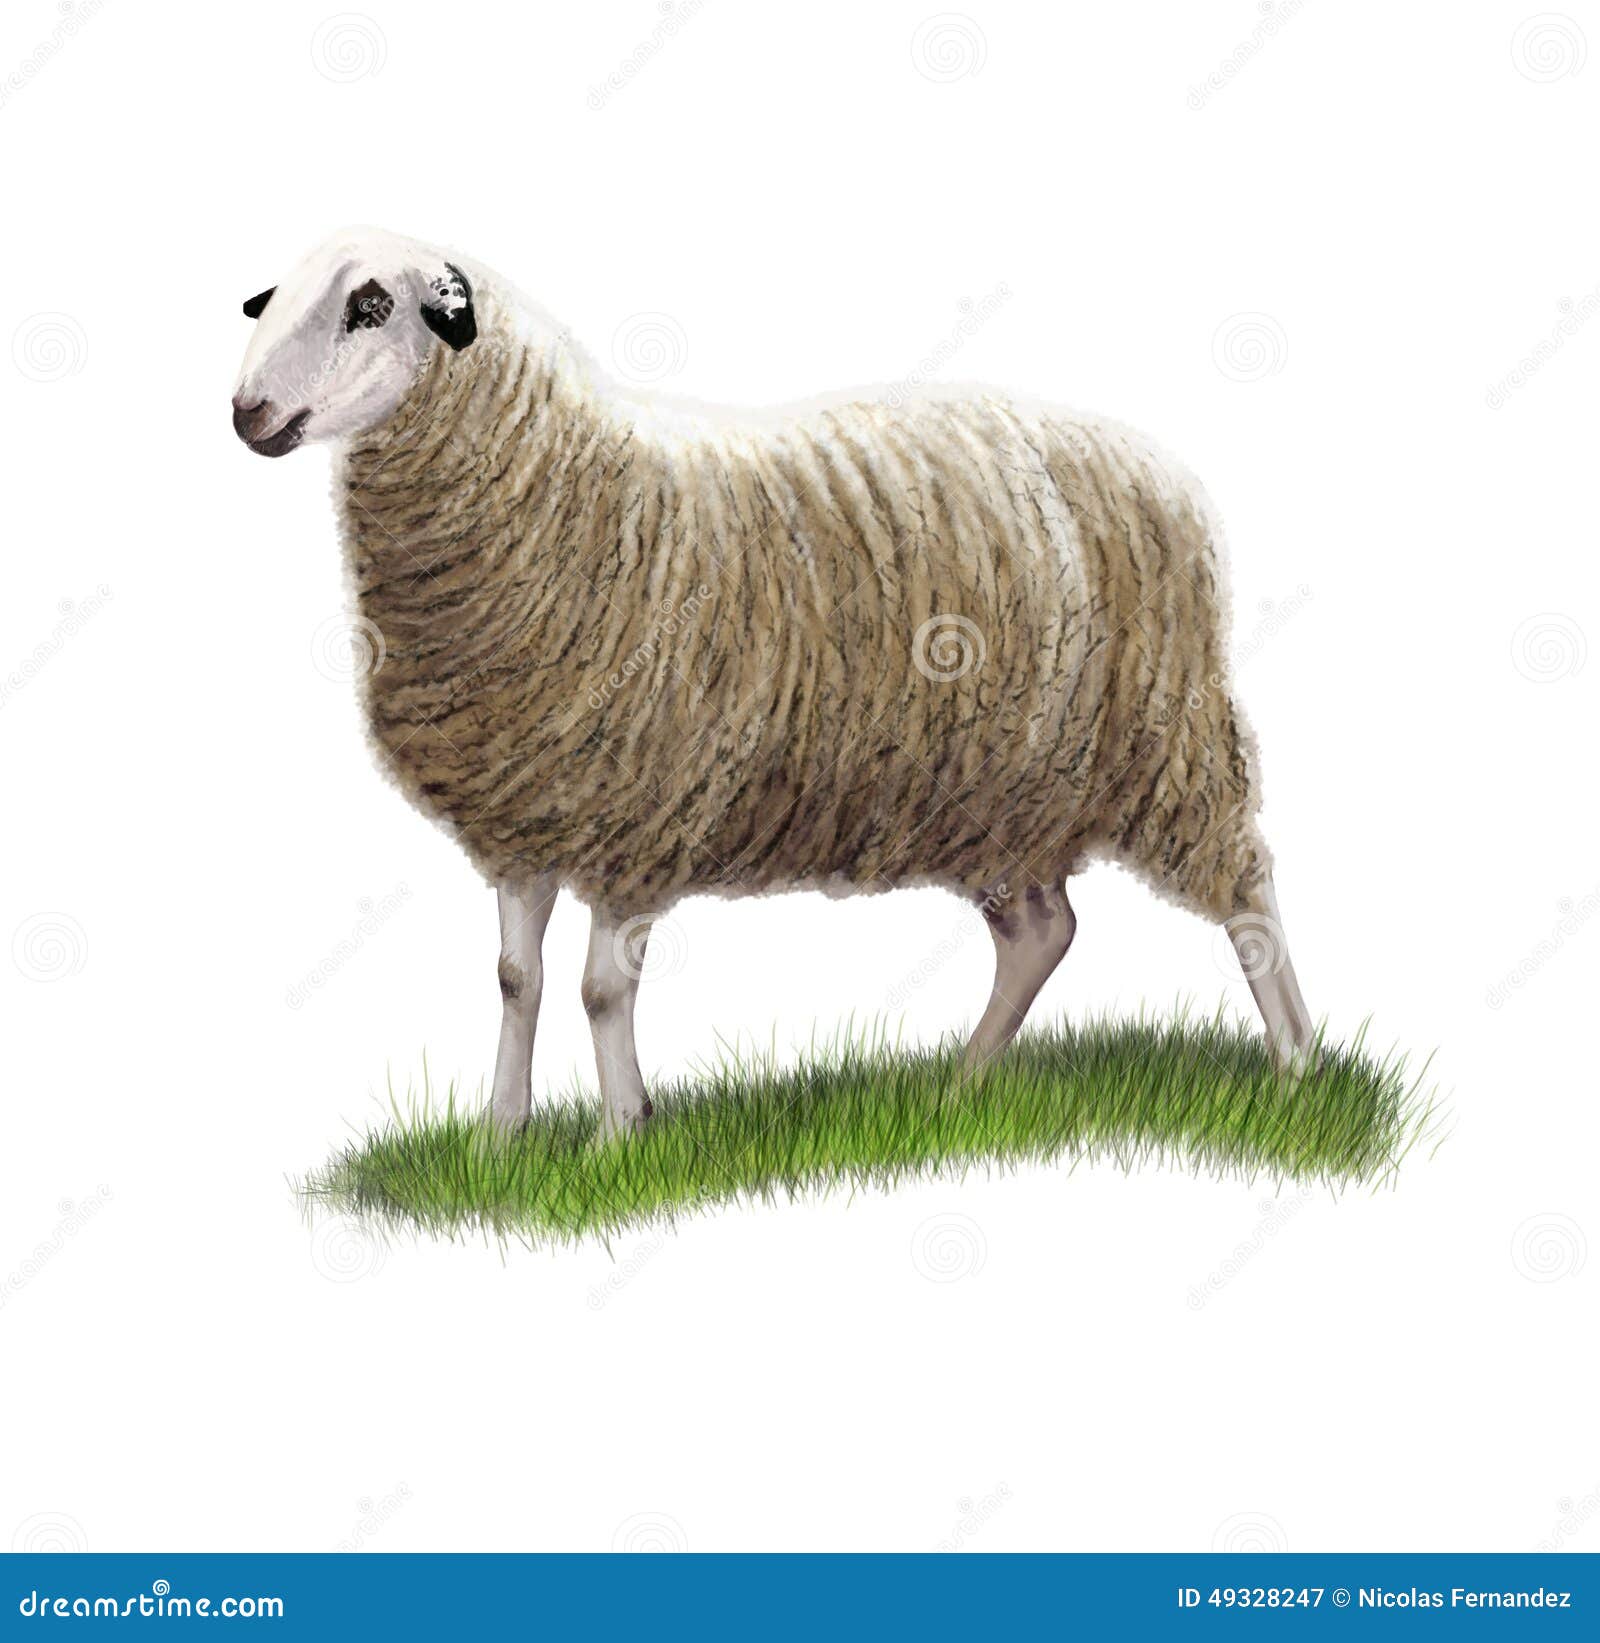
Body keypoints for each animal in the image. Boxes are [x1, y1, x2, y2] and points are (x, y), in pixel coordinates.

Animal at [232, 226, 1316, 1139]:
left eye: (371, 304)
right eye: (272, 301)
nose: (247, 413)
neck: (557, 489)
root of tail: (1159, 468)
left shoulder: (638, 815)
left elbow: (599, 991)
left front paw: (618, 1138)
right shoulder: (525, 820)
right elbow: (515, 980)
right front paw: (503, 1136)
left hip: (1169, 740)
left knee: (1247, 894)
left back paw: (1299, 1065)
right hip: (997, 788)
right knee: (1043, 931)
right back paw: (962, 1085)